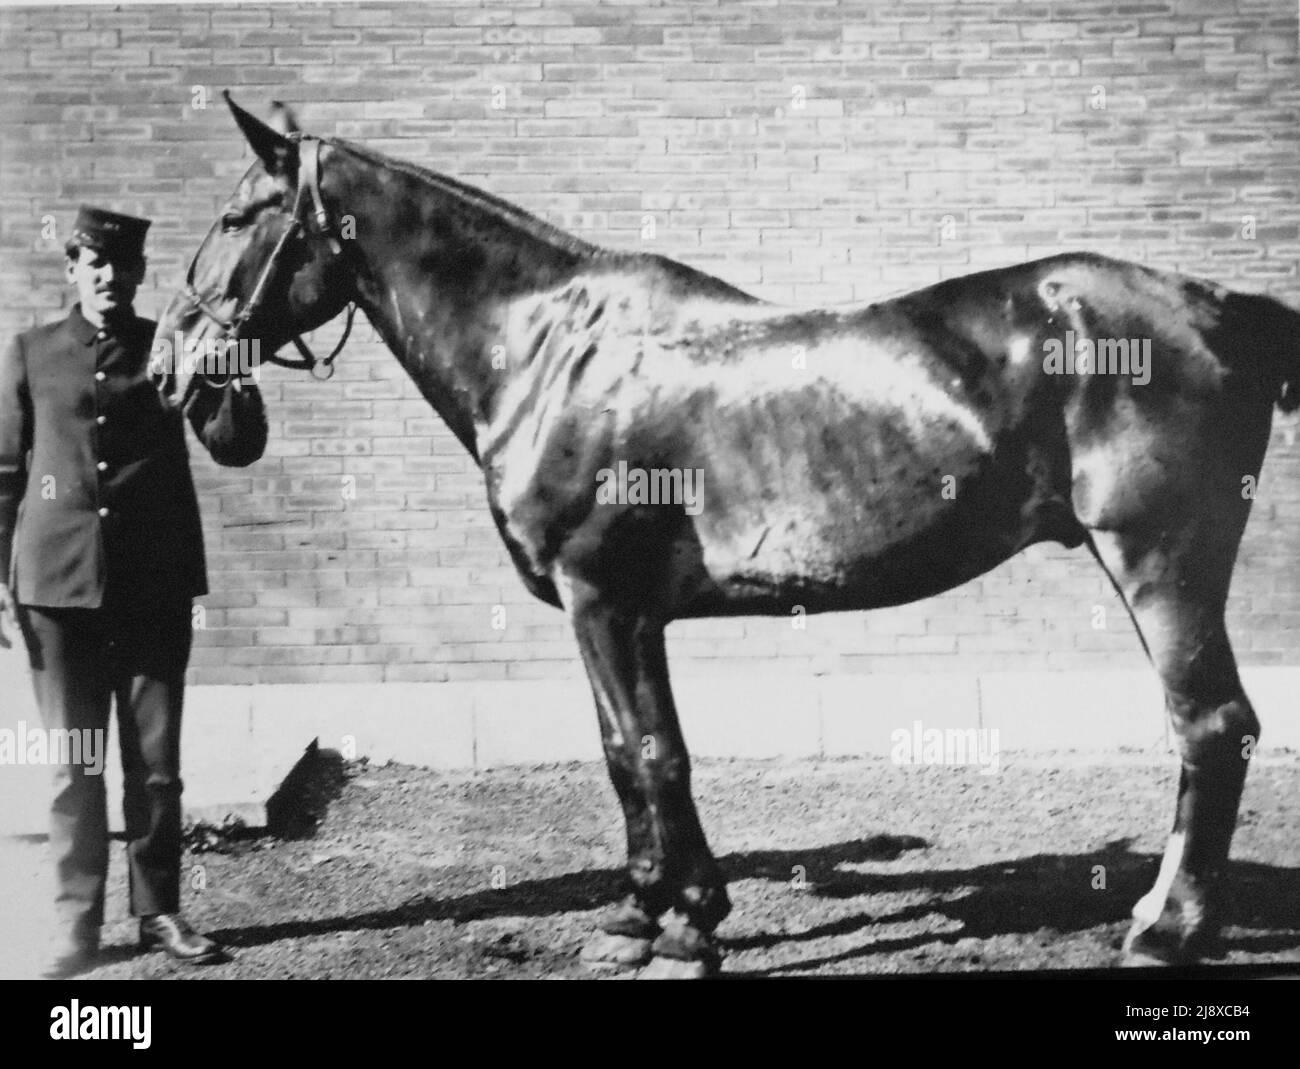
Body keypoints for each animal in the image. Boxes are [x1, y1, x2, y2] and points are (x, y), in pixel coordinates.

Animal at [158, 94, 1300, 977]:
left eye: (237, 214)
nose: (175, 370)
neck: (550, 349)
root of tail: (1216, 306)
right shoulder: (620, 613)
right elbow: (627, 755)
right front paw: (641, 913)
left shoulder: (602, 600)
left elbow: (654, 754)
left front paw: (687, 930)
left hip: (1158, 564)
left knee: (1211, 725)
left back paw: (1164, 930)